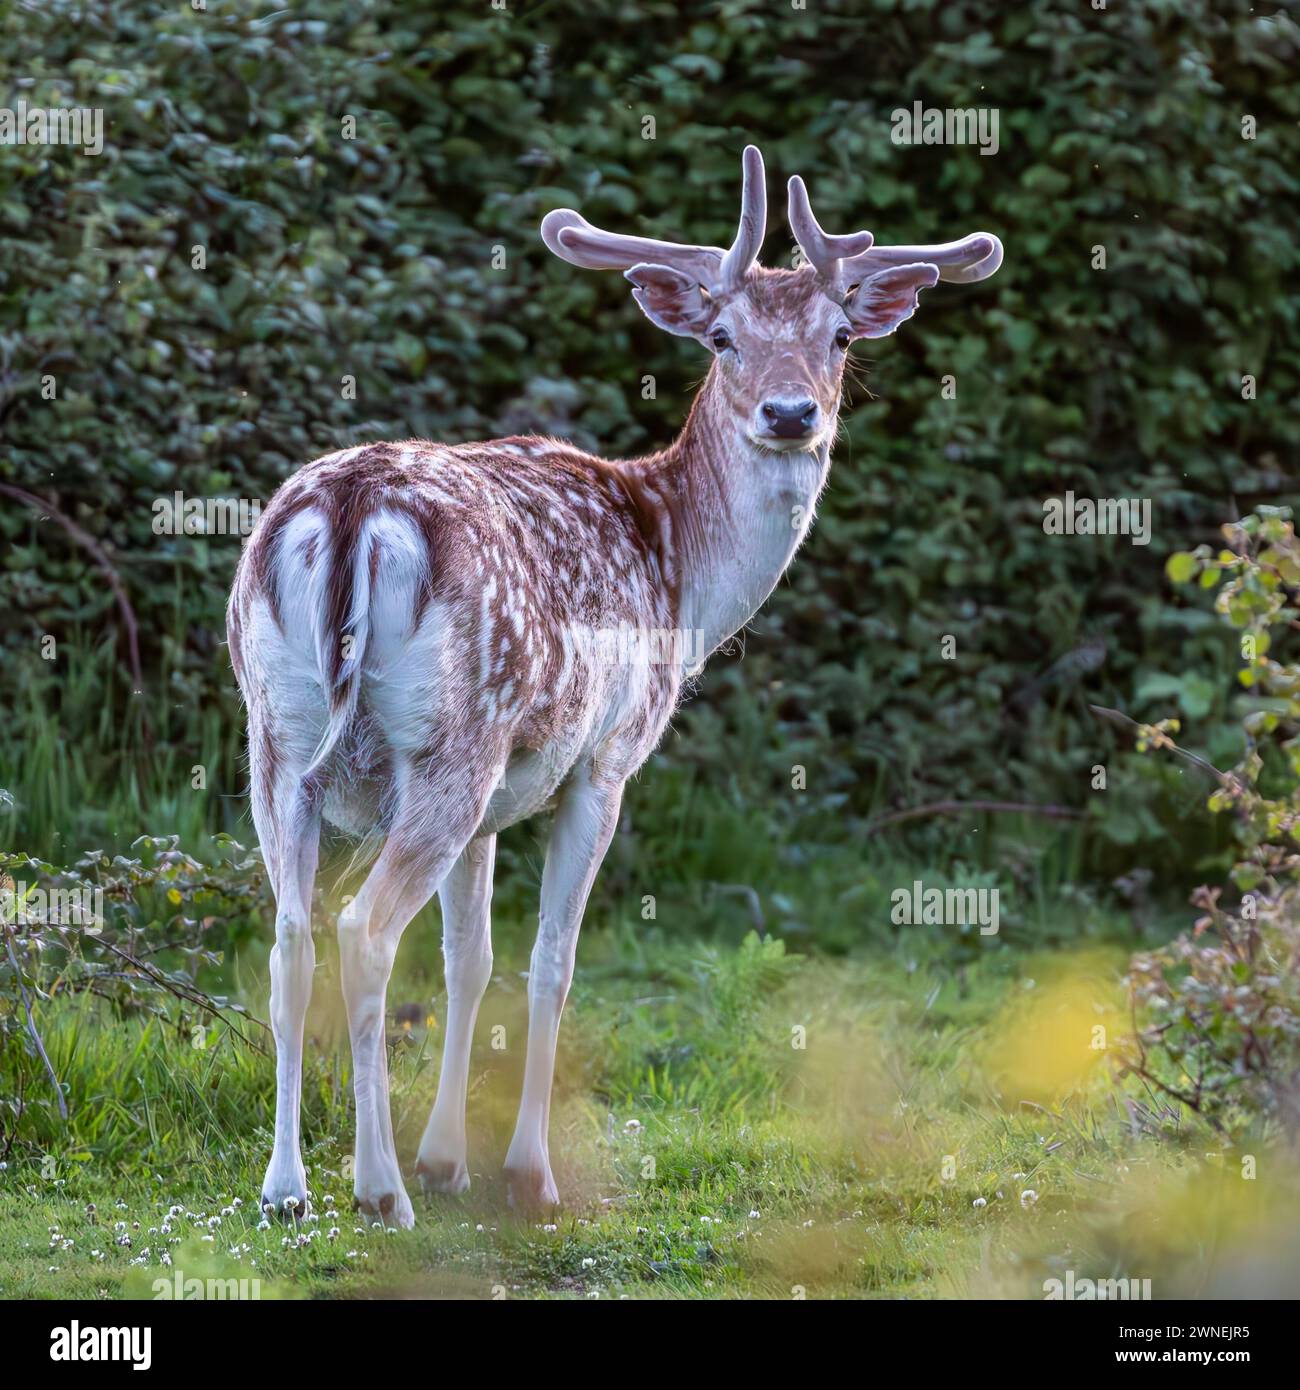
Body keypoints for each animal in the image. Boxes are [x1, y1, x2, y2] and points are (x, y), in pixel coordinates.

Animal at [226, 146, 1002, 1226]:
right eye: (721, 337)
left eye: (840, 336)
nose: (790, 413)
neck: (681, 575)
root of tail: (348, 514)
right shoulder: (605, 759)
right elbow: (551, 962)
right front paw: (524, 1175)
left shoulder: (498, 802)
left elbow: (472, 961)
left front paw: (447, 1158)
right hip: (450, 738)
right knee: (364, 930)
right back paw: (379, 1190)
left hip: (282, 738)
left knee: (290, 937)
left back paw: (288, 1187)